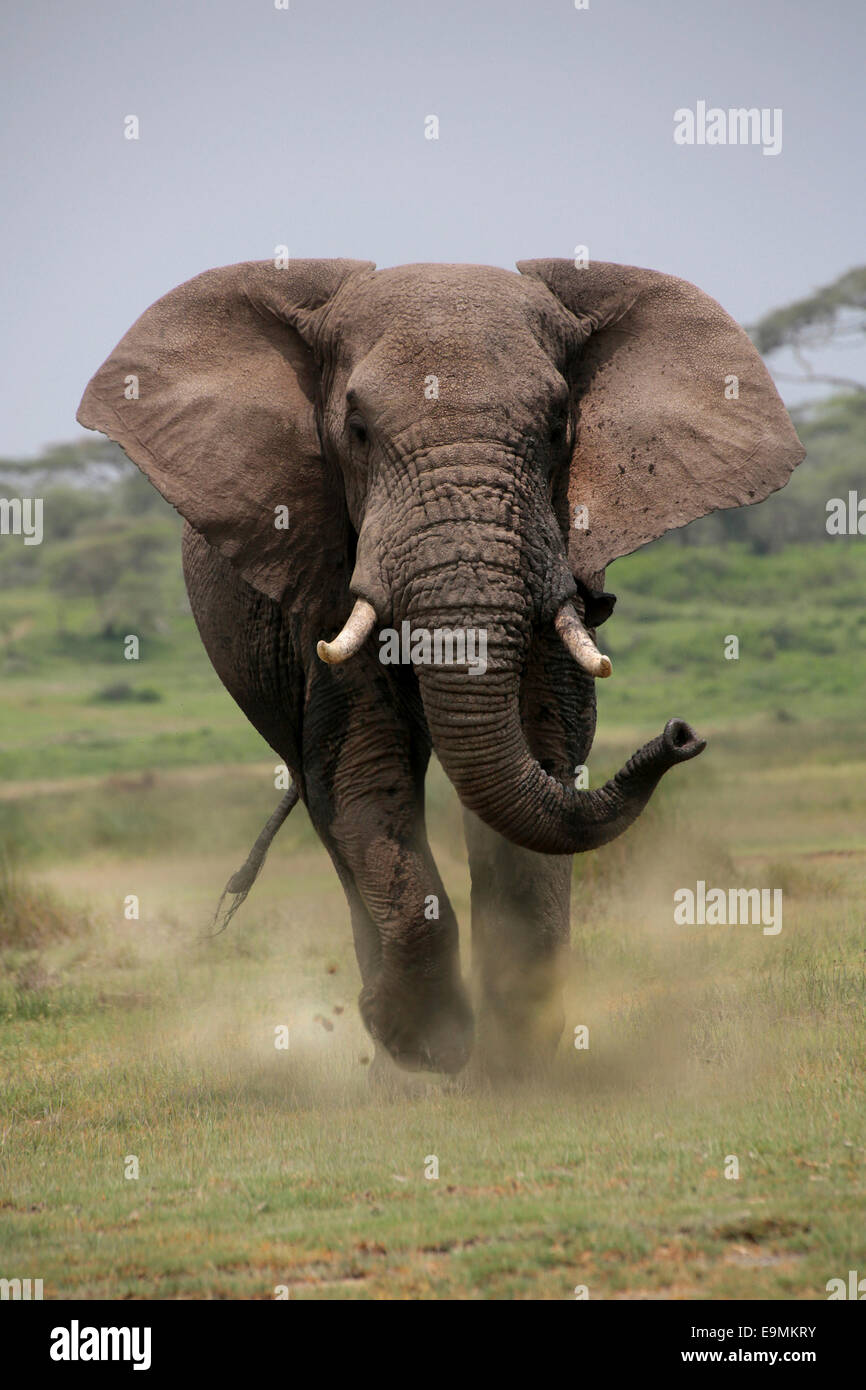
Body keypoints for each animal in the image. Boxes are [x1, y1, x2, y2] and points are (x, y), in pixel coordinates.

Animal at [77, 258, 804, 1075]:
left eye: (559, 425)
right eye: (357, 431)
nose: (683, 733)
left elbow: (539, 758)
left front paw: (516, 1056)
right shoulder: (327, 571)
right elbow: (367, 767)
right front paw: (425, 1043)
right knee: (326, 803)